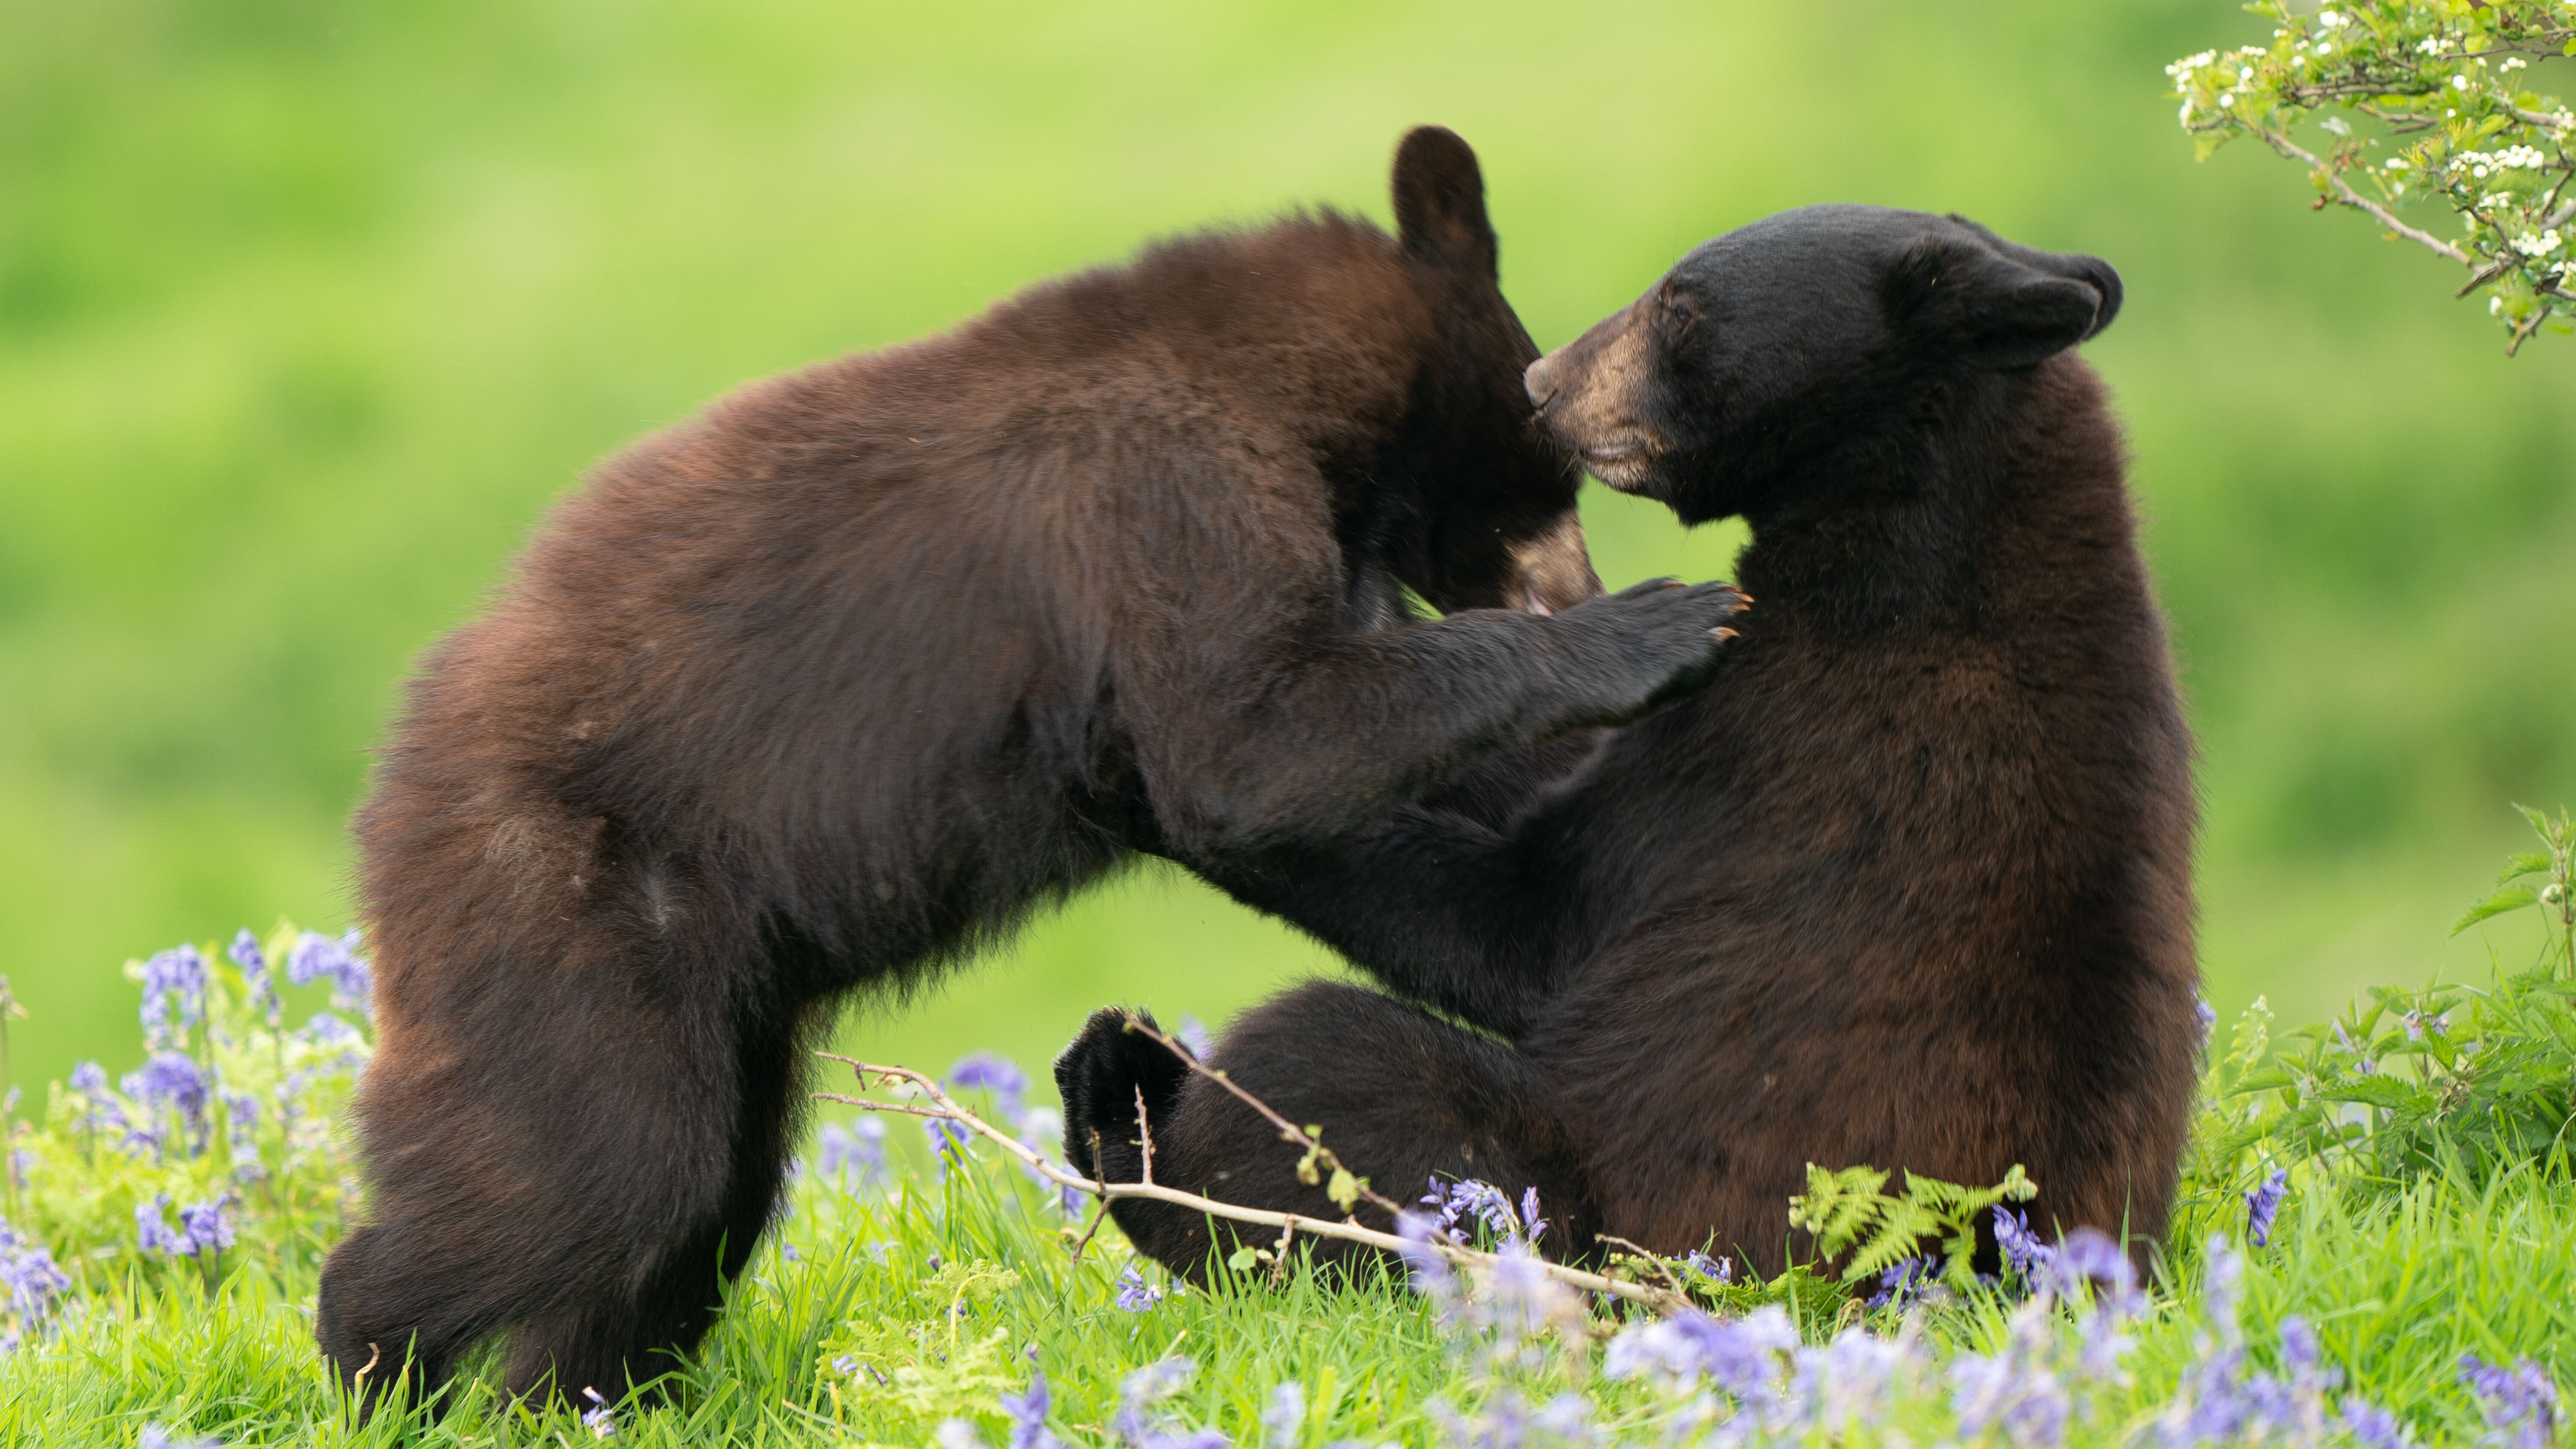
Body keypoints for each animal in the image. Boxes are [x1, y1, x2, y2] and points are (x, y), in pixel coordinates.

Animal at [316, 125, 1749, 1411]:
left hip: (717, 996)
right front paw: (1654, 633)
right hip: (564, 903)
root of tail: (392, 784)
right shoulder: (1169, 500)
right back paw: (371, 1363)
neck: (1273, 385)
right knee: (600, 1166)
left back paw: (590, 1395)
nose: (1584, 583)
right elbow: (1256, 737)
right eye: (1553, 467)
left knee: (702, 1197)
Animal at [1059, 204, 2201, 1286]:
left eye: (1682, 308)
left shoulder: (1785, 734)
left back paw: (1125, 1103)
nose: (1542, 383)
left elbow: (1525, 924)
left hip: (1610, 1190)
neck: (1918, 530)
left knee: (1341, 1075)